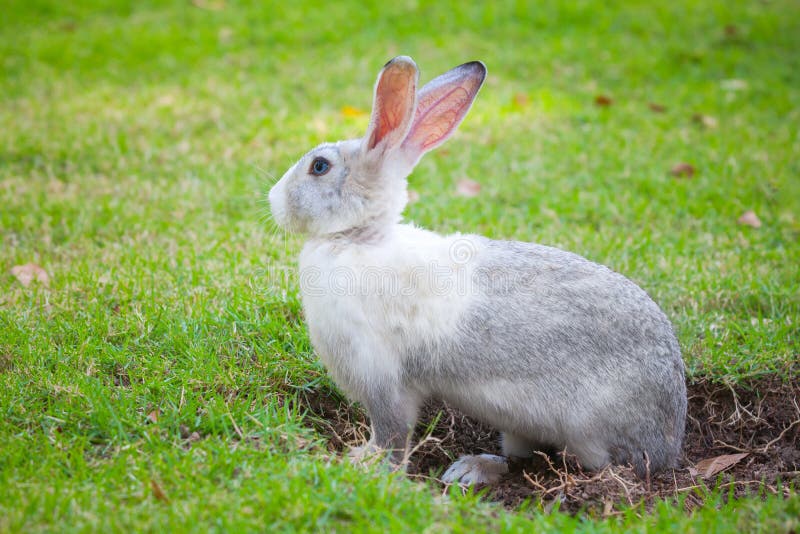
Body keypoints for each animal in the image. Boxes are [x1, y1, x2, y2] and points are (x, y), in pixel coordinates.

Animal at [268, 56, 686, 485]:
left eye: (319, 167)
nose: (273, 201)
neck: (359, 238)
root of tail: (670, 440)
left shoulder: (383, 376)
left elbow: (392, 433)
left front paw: (366, 465)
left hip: (585, 433)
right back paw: (470, 469)